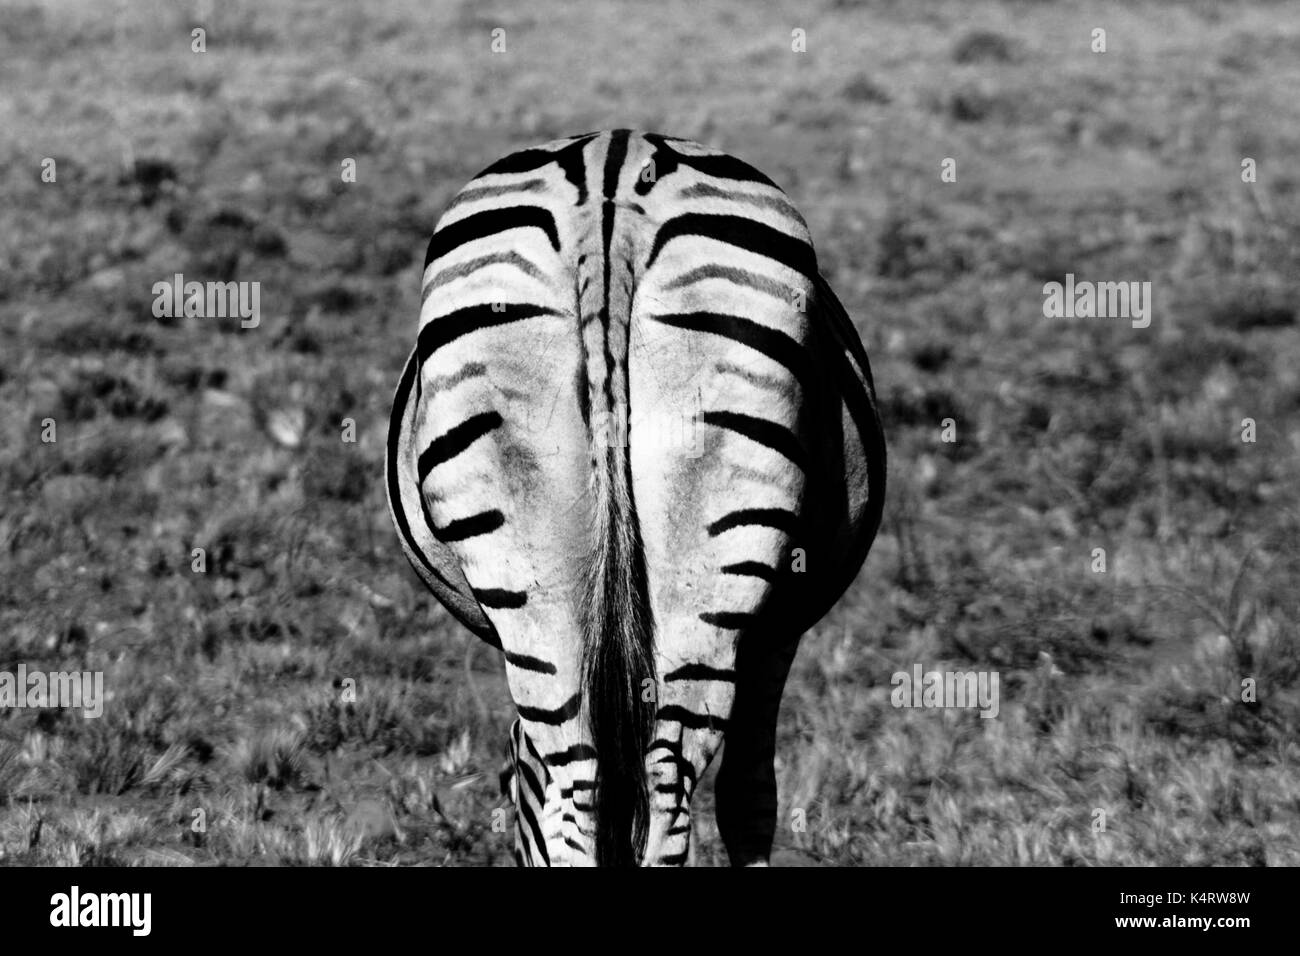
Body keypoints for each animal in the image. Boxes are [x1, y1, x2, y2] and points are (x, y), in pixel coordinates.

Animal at [386, 130, 885, 866]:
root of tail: (610, 170)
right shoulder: (777, 631)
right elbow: (749, 797)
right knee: (665, 783)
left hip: (536, 577)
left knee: (580, 789)